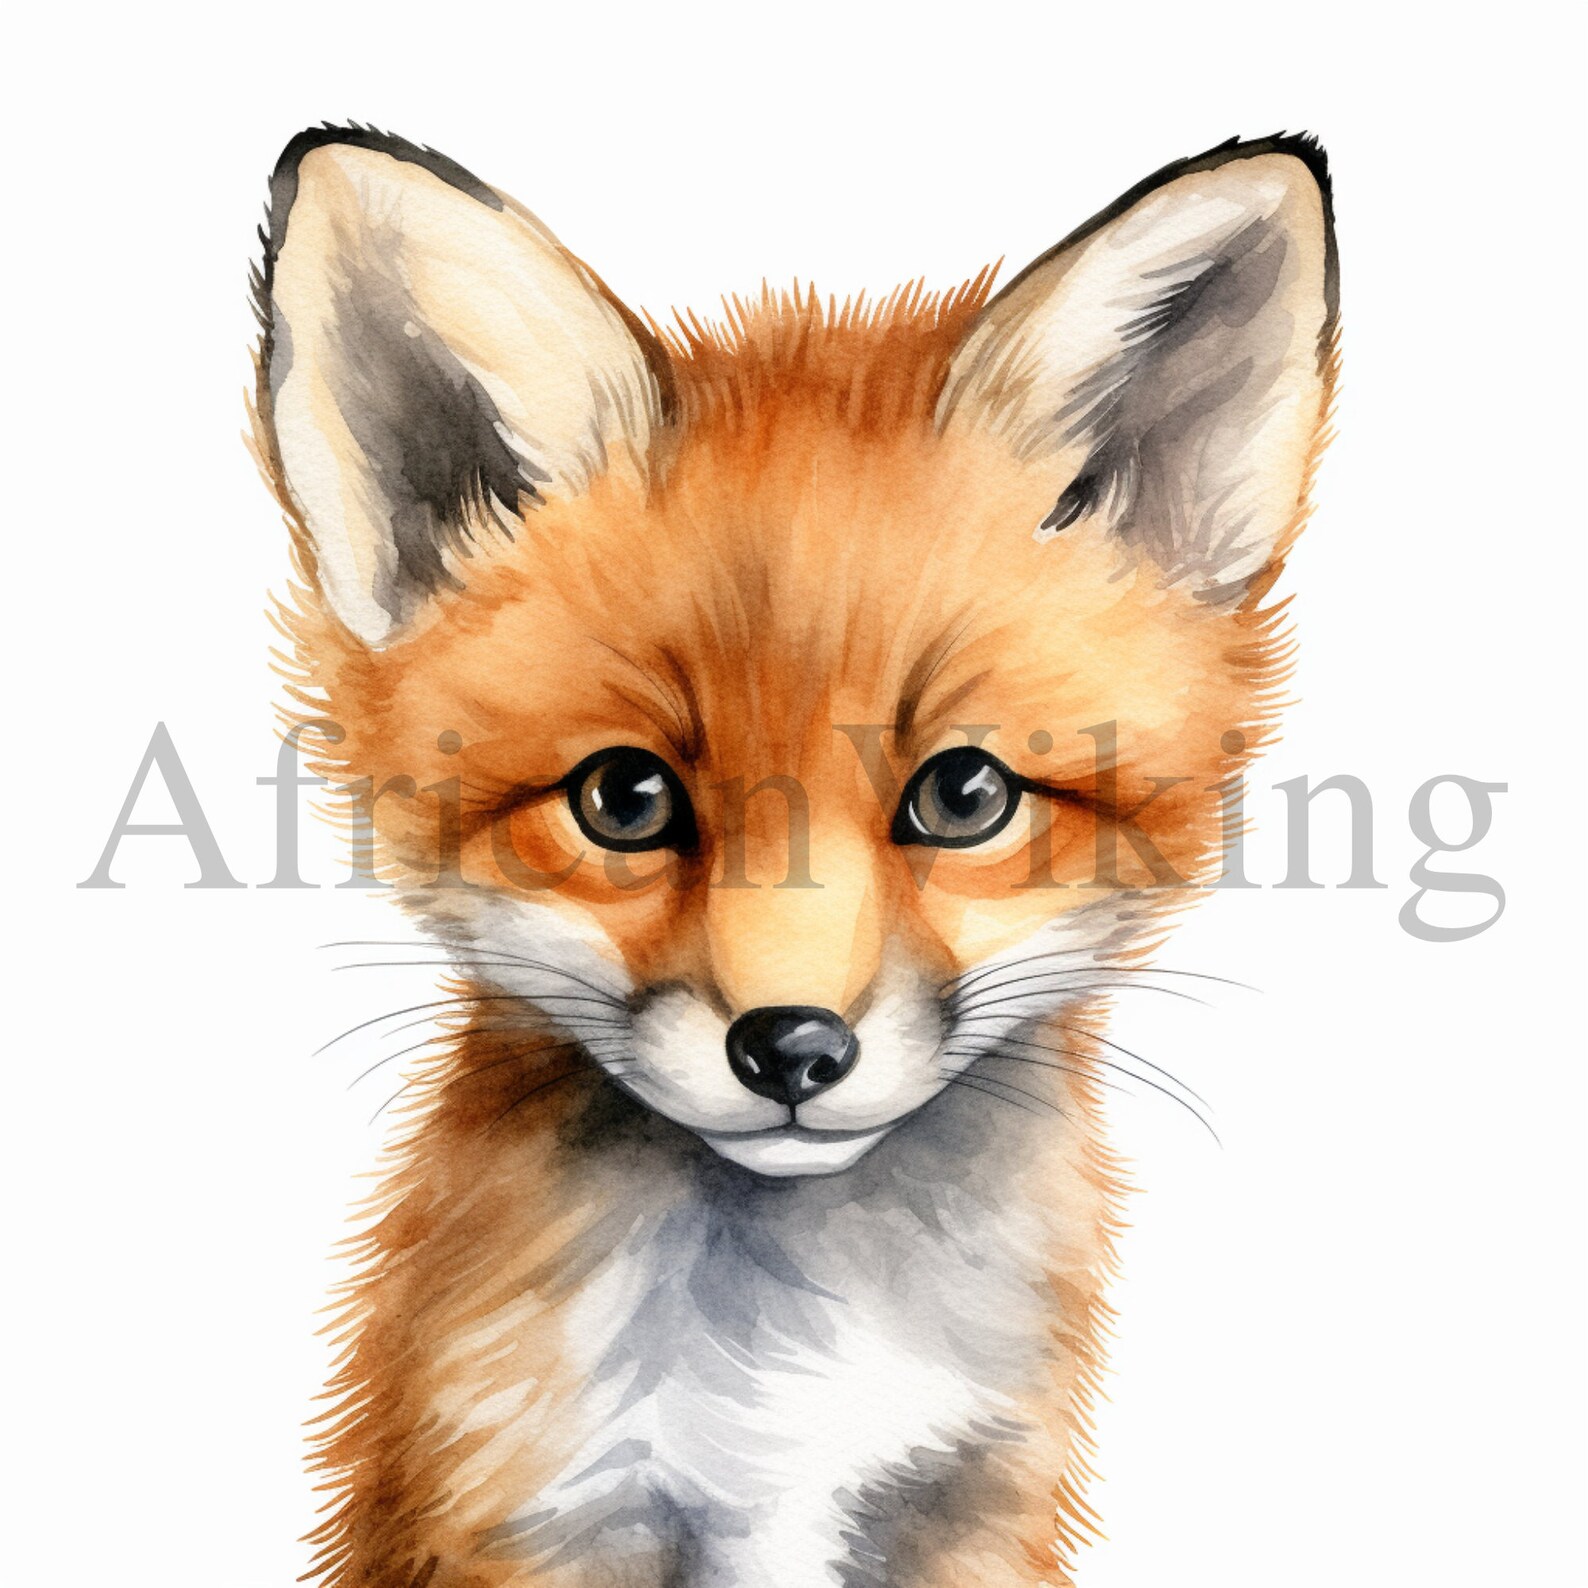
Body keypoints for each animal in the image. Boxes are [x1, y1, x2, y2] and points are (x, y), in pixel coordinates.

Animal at [249, 124, 1337, 1587]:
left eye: (964, 795)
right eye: (624, 798)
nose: (793, 1051)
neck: (783, 1389)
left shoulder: (974, 1498)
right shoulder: (527, 1509)